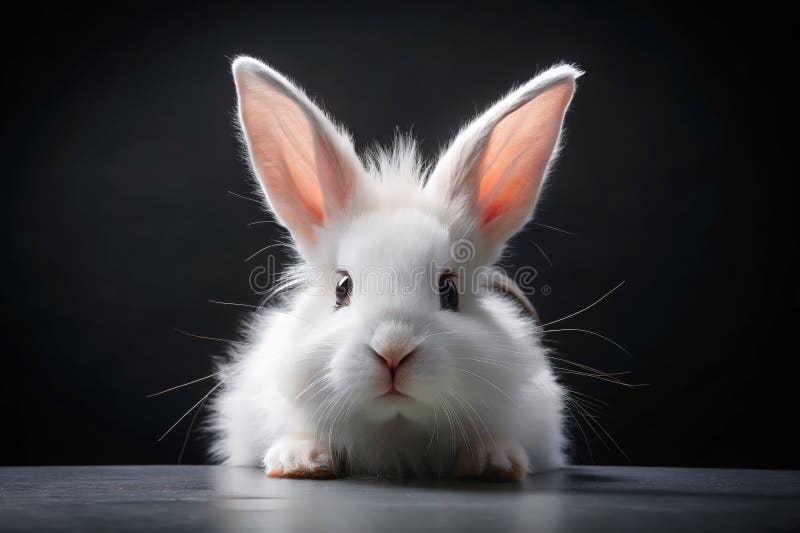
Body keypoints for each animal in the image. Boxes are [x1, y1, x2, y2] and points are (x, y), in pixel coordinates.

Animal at [209, 56, 581, 481]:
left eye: (449, 290)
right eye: (342, 288)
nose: (393, 351)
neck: (396, 429)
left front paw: (494, 461)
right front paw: (298, 461)